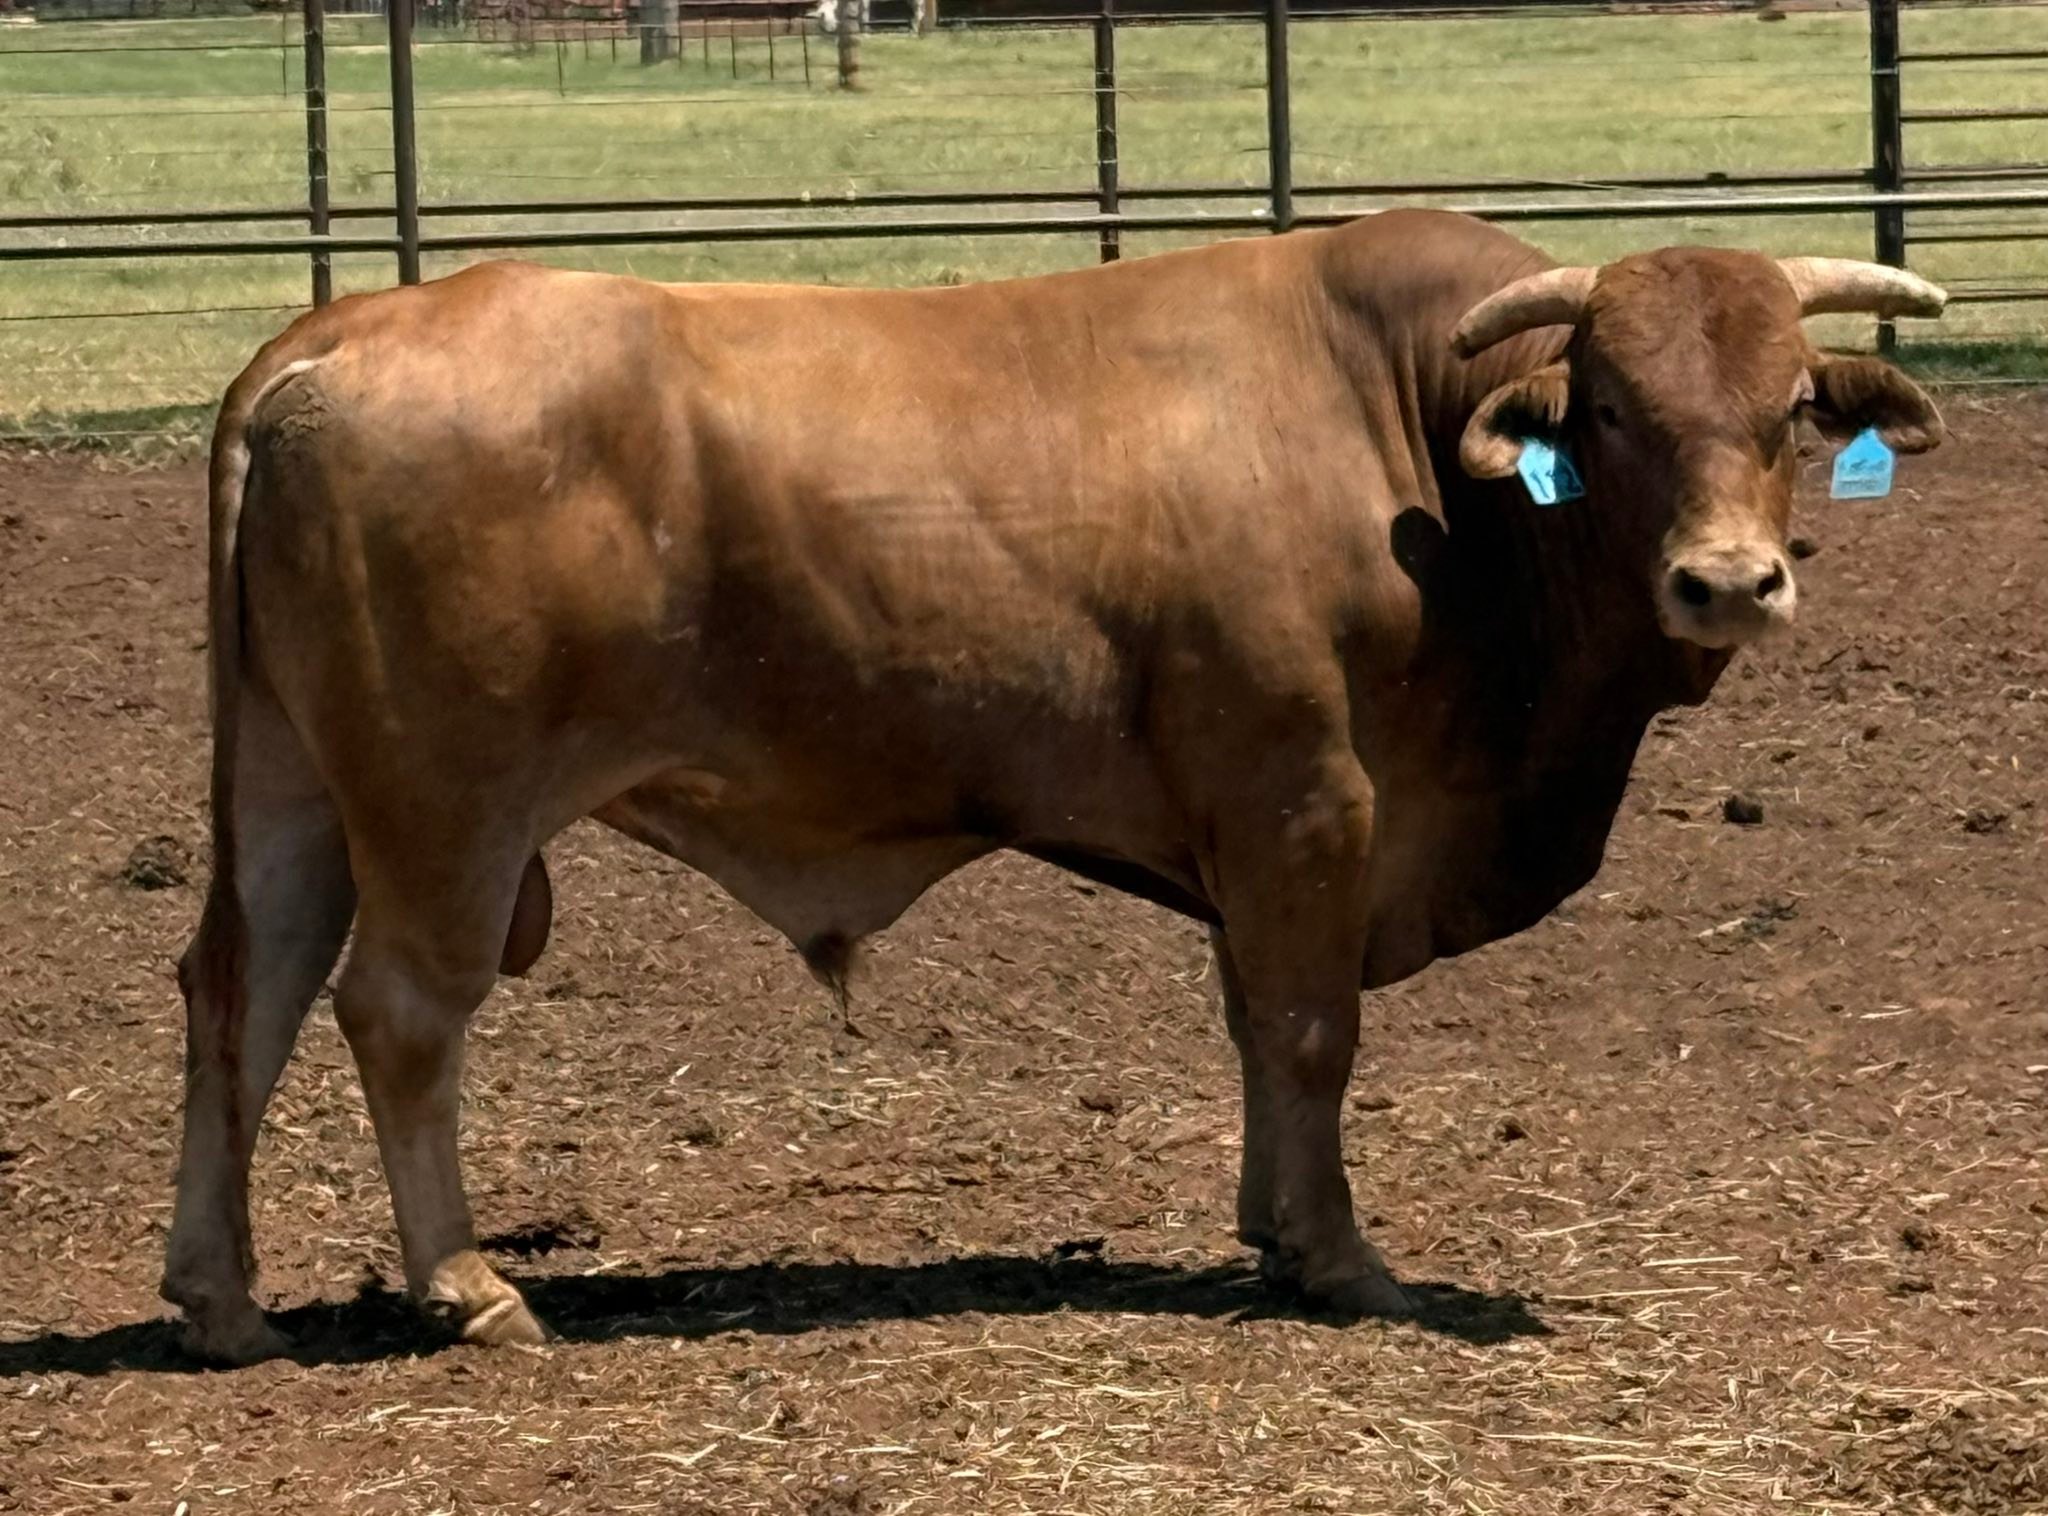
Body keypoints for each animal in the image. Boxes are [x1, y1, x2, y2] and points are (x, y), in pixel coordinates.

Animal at [162, 208, 1946, 1363]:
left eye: (1792, 404)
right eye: (1614, 409)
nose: (1730, 583)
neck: (1422, 463)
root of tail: (329, 339)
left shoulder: (1261, 837)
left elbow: (1256, 1022)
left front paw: (1267, 1222)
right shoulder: (1309, 798)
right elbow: (1311, 1027)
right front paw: (1342, 1257)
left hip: (296, 796)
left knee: (240, 994)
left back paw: (220, 1298)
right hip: (445, 810)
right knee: (396, 1012)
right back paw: (469, 1288)